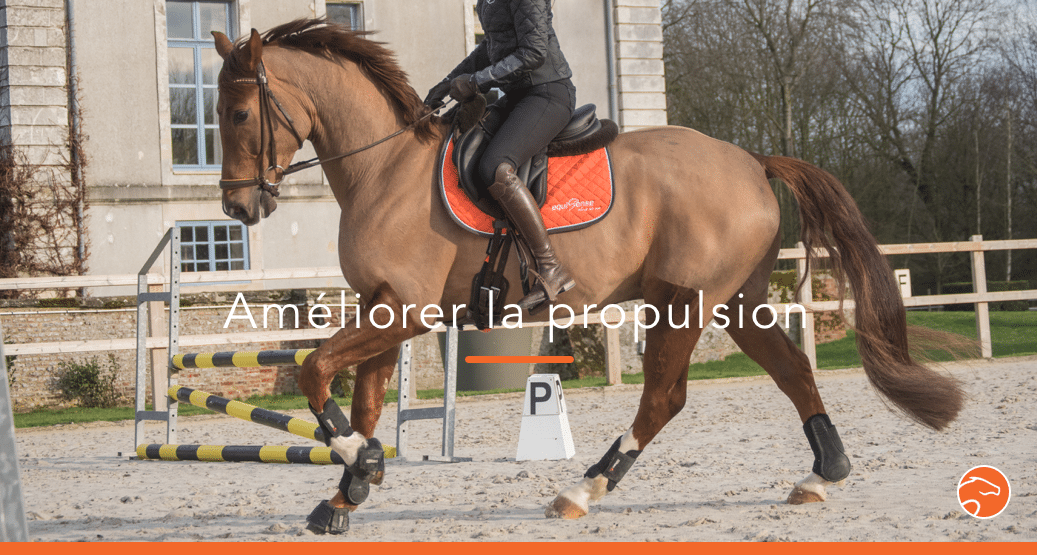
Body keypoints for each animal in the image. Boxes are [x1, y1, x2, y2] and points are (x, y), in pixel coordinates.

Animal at [211, 19, 964, 531]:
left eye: (241, 112)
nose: (238, 207)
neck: (383, 167)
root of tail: (751, 160)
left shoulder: (402, 310)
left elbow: (313, 369)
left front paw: (360, 468)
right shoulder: (384, 305)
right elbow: (362, 404)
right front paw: (347, 490)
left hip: (682, 304)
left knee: (664, 397)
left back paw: (586, 487)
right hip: (734, 302)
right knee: (793, 369)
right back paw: (821, 475)